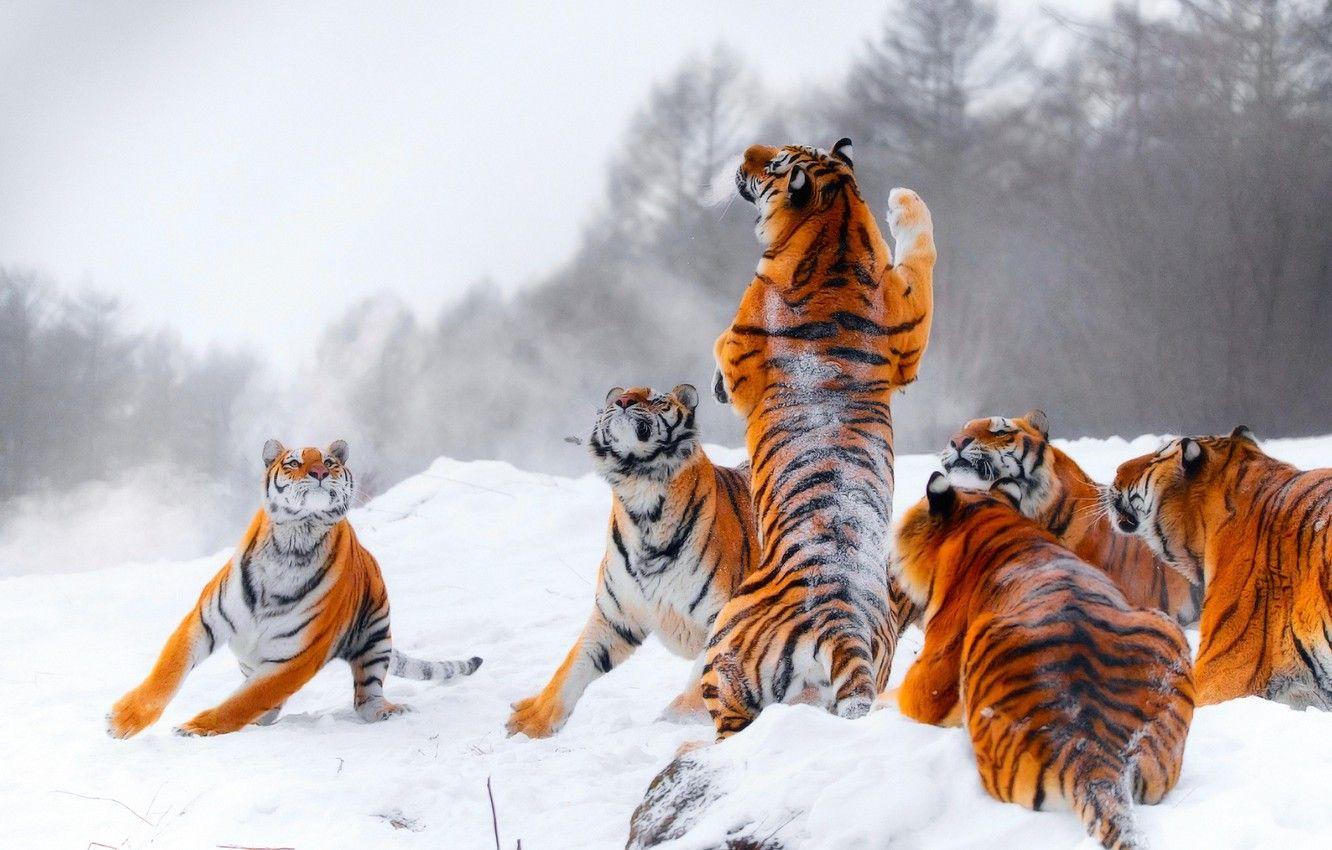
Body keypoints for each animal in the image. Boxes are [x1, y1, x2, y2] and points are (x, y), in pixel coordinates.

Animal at [106, 439, 481, 738]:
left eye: (329, 462)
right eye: (294, 462)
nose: (319, 473)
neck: (293, 543)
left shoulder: (297, 656)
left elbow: (244, 701)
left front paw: (196, 727)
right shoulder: (205, 620)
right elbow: (167, 673)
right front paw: (122, 721)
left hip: (376, 632)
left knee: (366, 695)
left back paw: (387, 710)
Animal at [505, 384, 760, 738]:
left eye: (656, 399)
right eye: (617, 398)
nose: (624, 401)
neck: (643, 499)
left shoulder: (724, 615)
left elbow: (705, 676)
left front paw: (675, 719)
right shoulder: (615, 618)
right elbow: (573, 666)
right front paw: (529, 723)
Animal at [701, 137, 934, 739]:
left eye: (772, 163)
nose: (745, 152)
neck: (837, 227)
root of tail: (839, 625)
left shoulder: (737, 341)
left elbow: (721, 354)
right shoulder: (909, 320)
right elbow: (923, 250)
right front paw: (904, 199)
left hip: (721, 644)